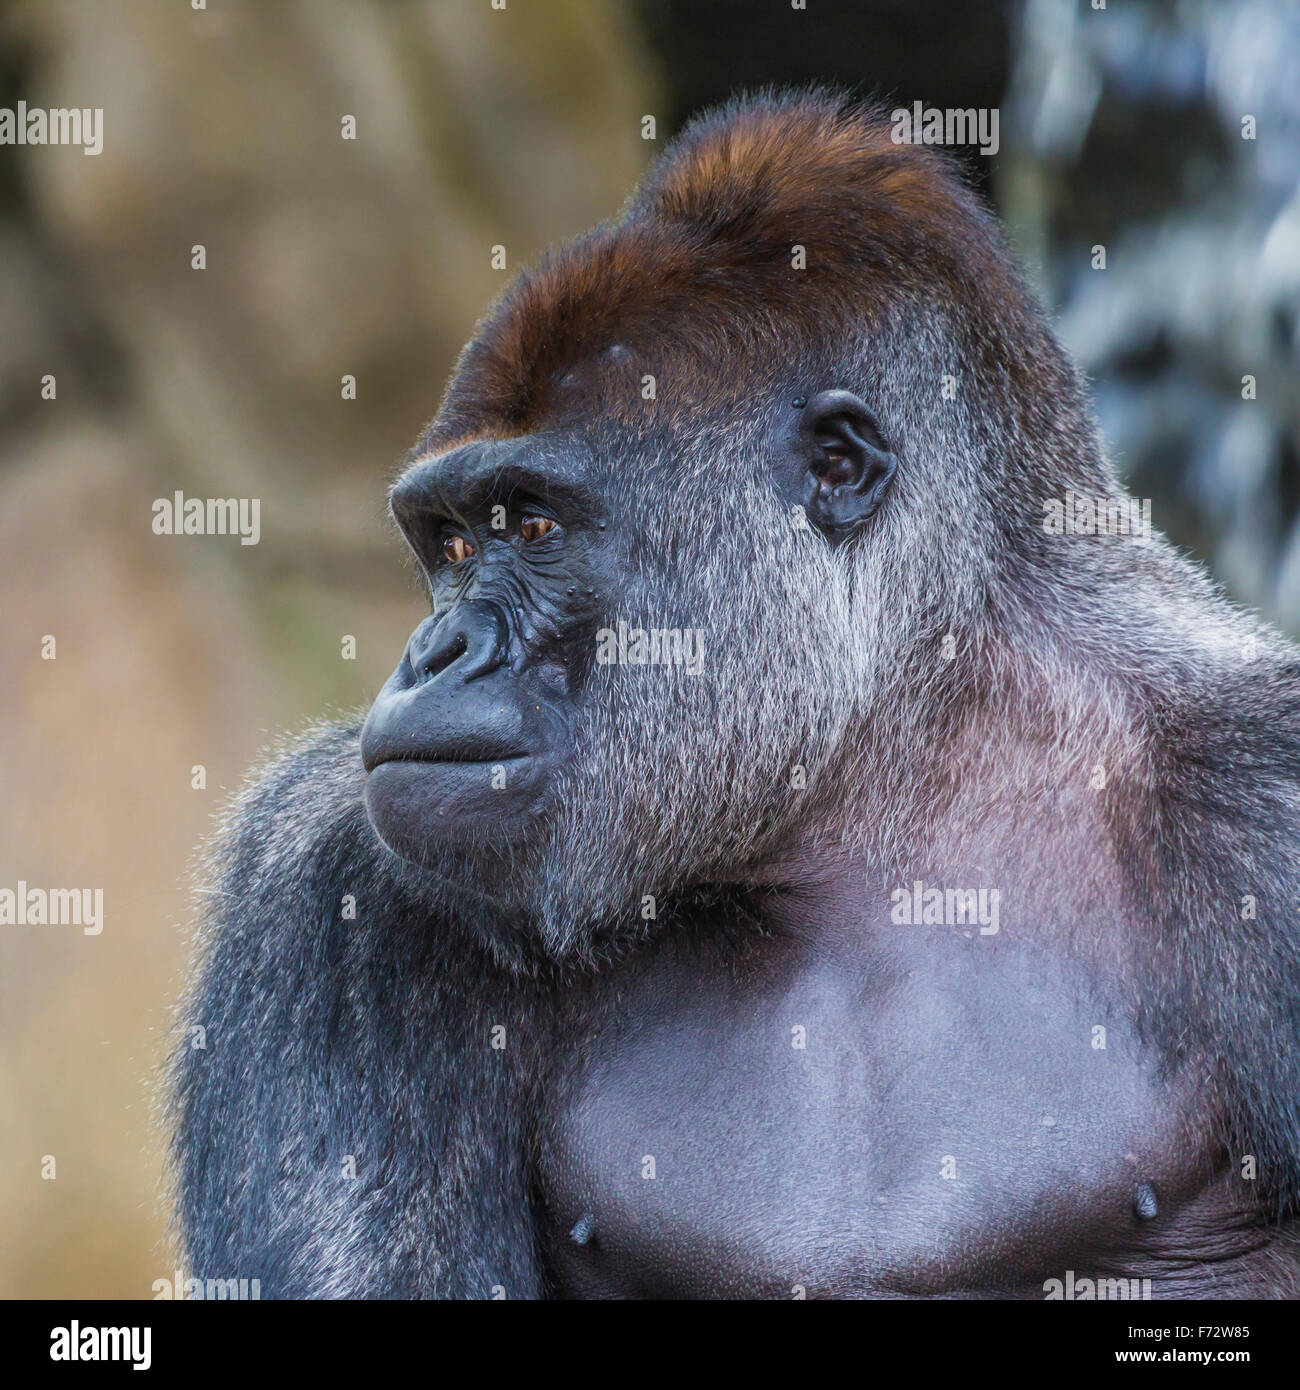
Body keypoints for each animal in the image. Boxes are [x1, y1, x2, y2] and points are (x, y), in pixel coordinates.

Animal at [172, 89, 1300, 1299]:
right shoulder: (329, 877)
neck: (891, 779)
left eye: (533, 525)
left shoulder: (1262, 787)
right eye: (452, 542)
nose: (435, 651)